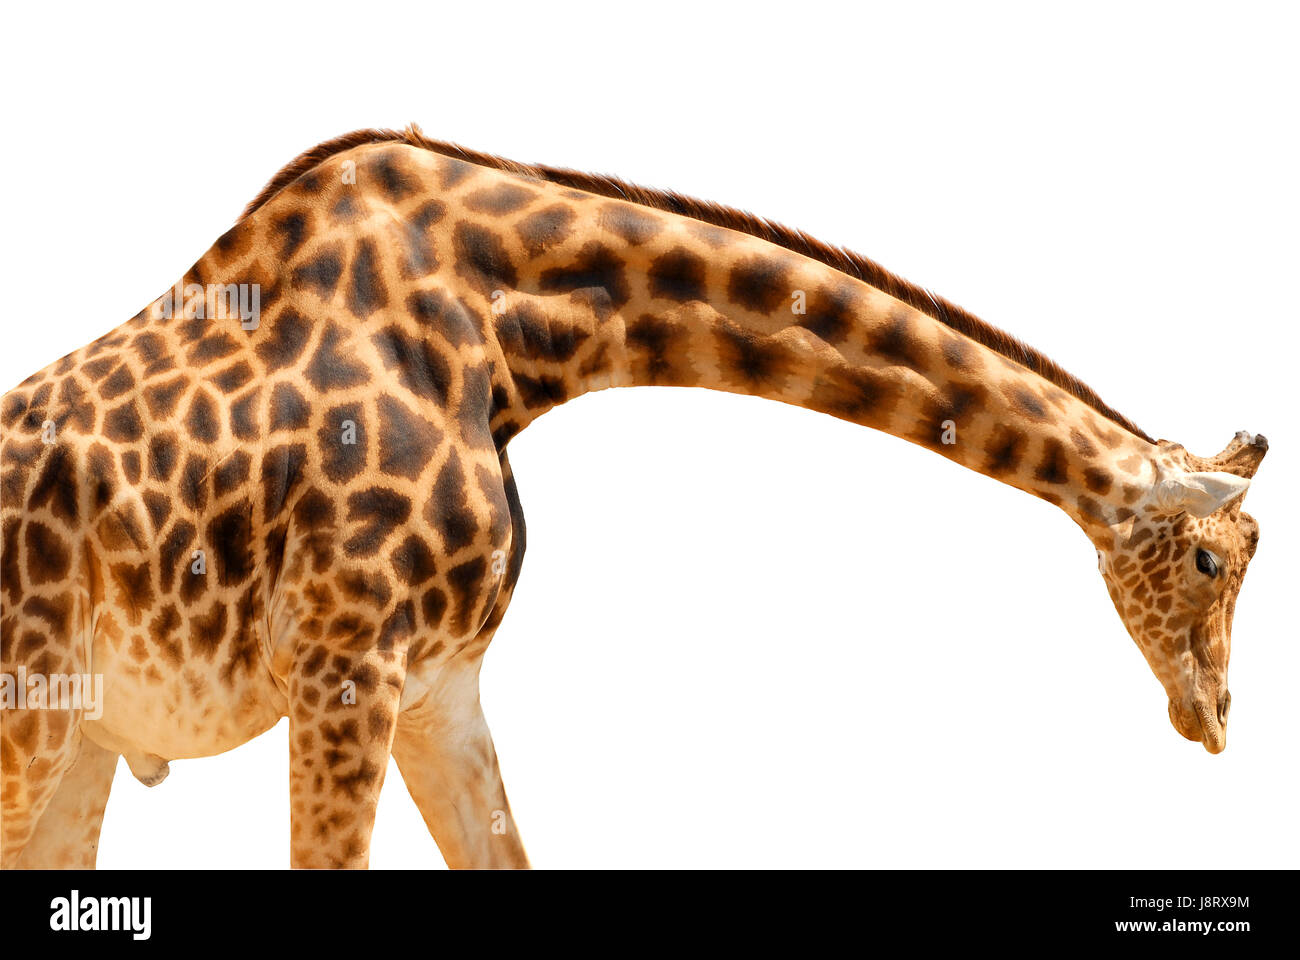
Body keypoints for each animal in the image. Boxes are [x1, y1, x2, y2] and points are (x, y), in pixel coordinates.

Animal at [0, 126, 1266, 869]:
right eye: (1213, 559)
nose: (1212, 717)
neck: (505, 337)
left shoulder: (438, 686)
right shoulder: (342, 669)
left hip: (82, 741)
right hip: (34, 717)